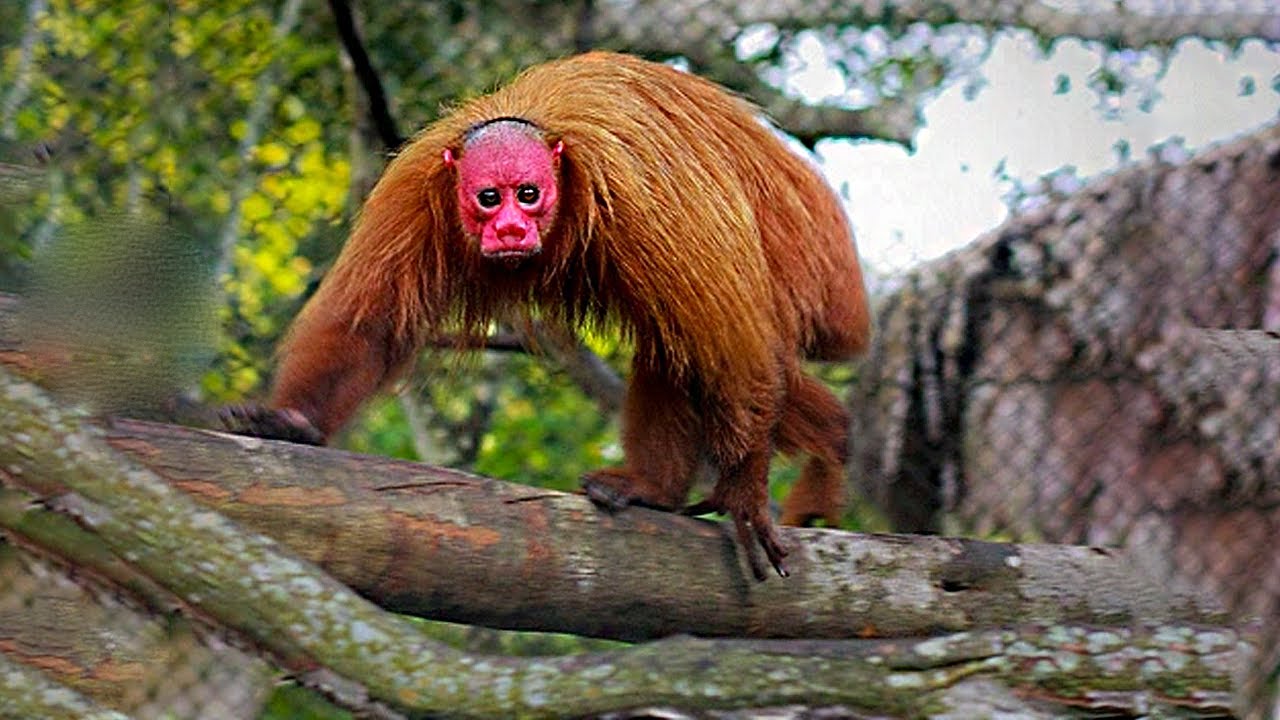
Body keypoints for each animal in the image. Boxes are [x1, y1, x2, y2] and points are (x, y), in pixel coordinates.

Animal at [222, 51, 871, 580]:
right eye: (490, 199)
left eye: (527, 195)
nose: (511, 227)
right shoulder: (415, 191)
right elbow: (368, 327)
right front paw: (292, 422)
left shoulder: (646, 195)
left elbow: (733, 348)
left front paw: (743, 492)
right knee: (673, 343)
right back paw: (662, 489)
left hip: (801, 273)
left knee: (717, 340)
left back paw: (831, 441)